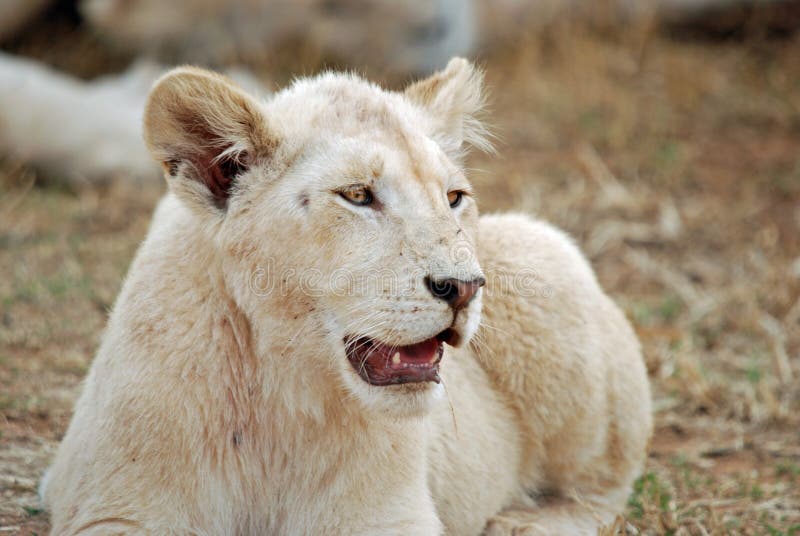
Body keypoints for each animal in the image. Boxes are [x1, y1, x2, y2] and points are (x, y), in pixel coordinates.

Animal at [40, 58, 652, 535]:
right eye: (358, 195)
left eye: (454, 197)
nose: (465, 287)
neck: (278, 391)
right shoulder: (118, 506)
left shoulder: (384, 516)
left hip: (541, 254)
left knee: (606, 487)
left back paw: (523, 523)